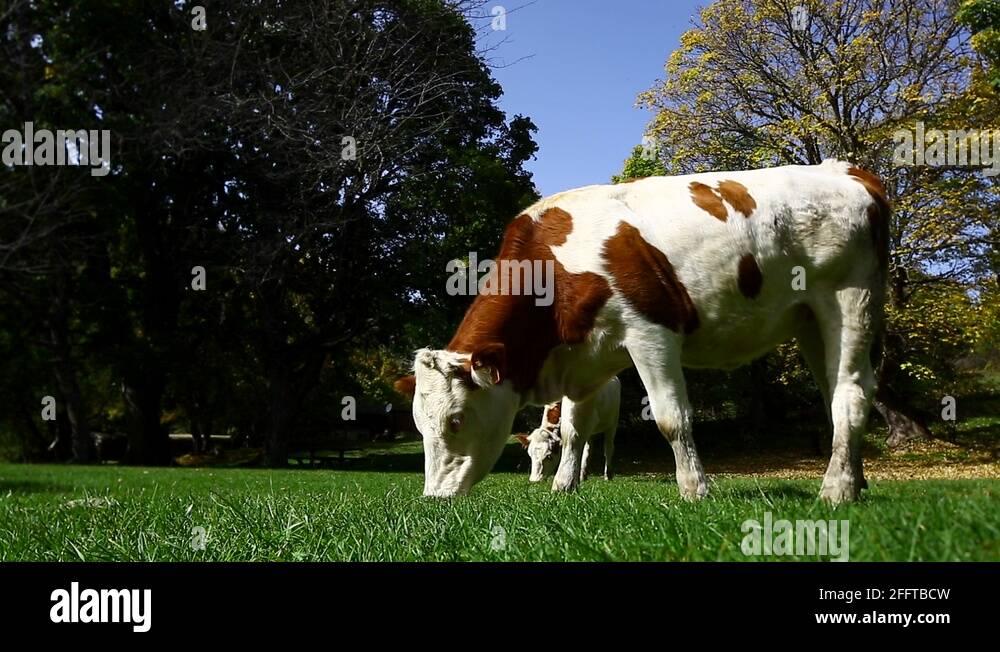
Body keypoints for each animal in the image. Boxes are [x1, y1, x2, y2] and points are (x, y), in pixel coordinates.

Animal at [395, 159, 888, 504]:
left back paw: (837, 490)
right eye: (417, 424)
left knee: (852, 391)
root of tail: (846, 170)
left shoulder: (651, 332)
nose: (433, 498)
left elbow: (672, 418)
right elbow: (574, 431)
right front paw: (563, 488)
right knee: (832, 393)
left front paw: (695, 490)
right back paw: (857, 481)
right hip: (810, 319)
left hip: (849, 296)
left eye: (456, 420)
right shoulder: (584, 360)